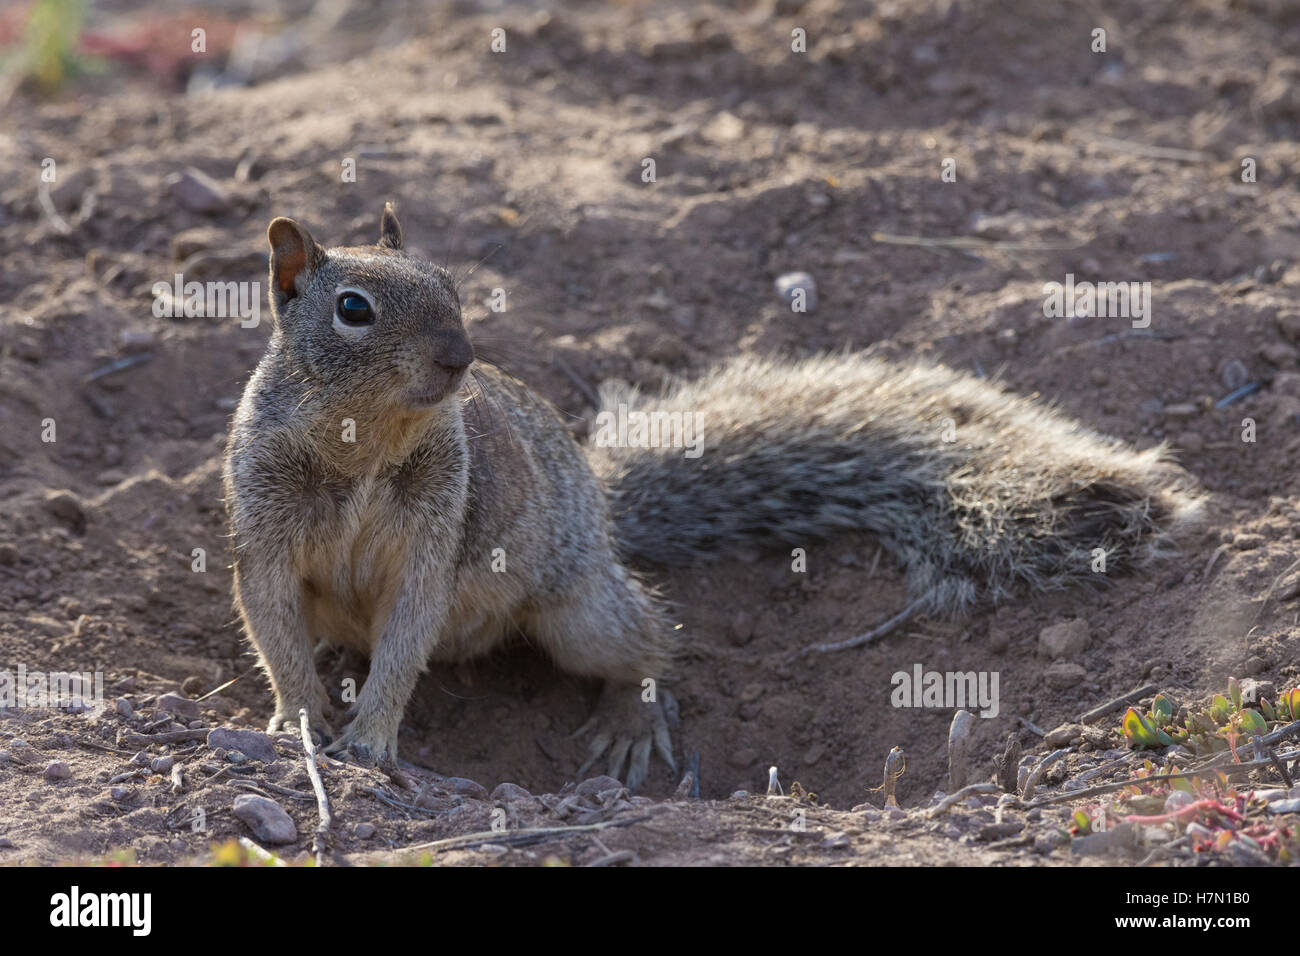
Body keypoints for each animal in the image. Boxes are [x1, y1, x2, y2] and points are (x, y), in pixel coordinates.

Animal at [224, 203, 1203, 789]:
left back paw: (630, 717)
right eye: (353, 309)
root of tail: (602, 513)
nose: (460, 358)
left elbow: (408, 634)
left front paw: (371, 738)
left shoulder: (437, 532)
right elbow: (272, 626)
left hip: (580, 611)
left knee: (653, 641)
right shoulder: (262, 532)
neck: (364, 442)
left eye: (454, 287)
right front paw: (296, 721)